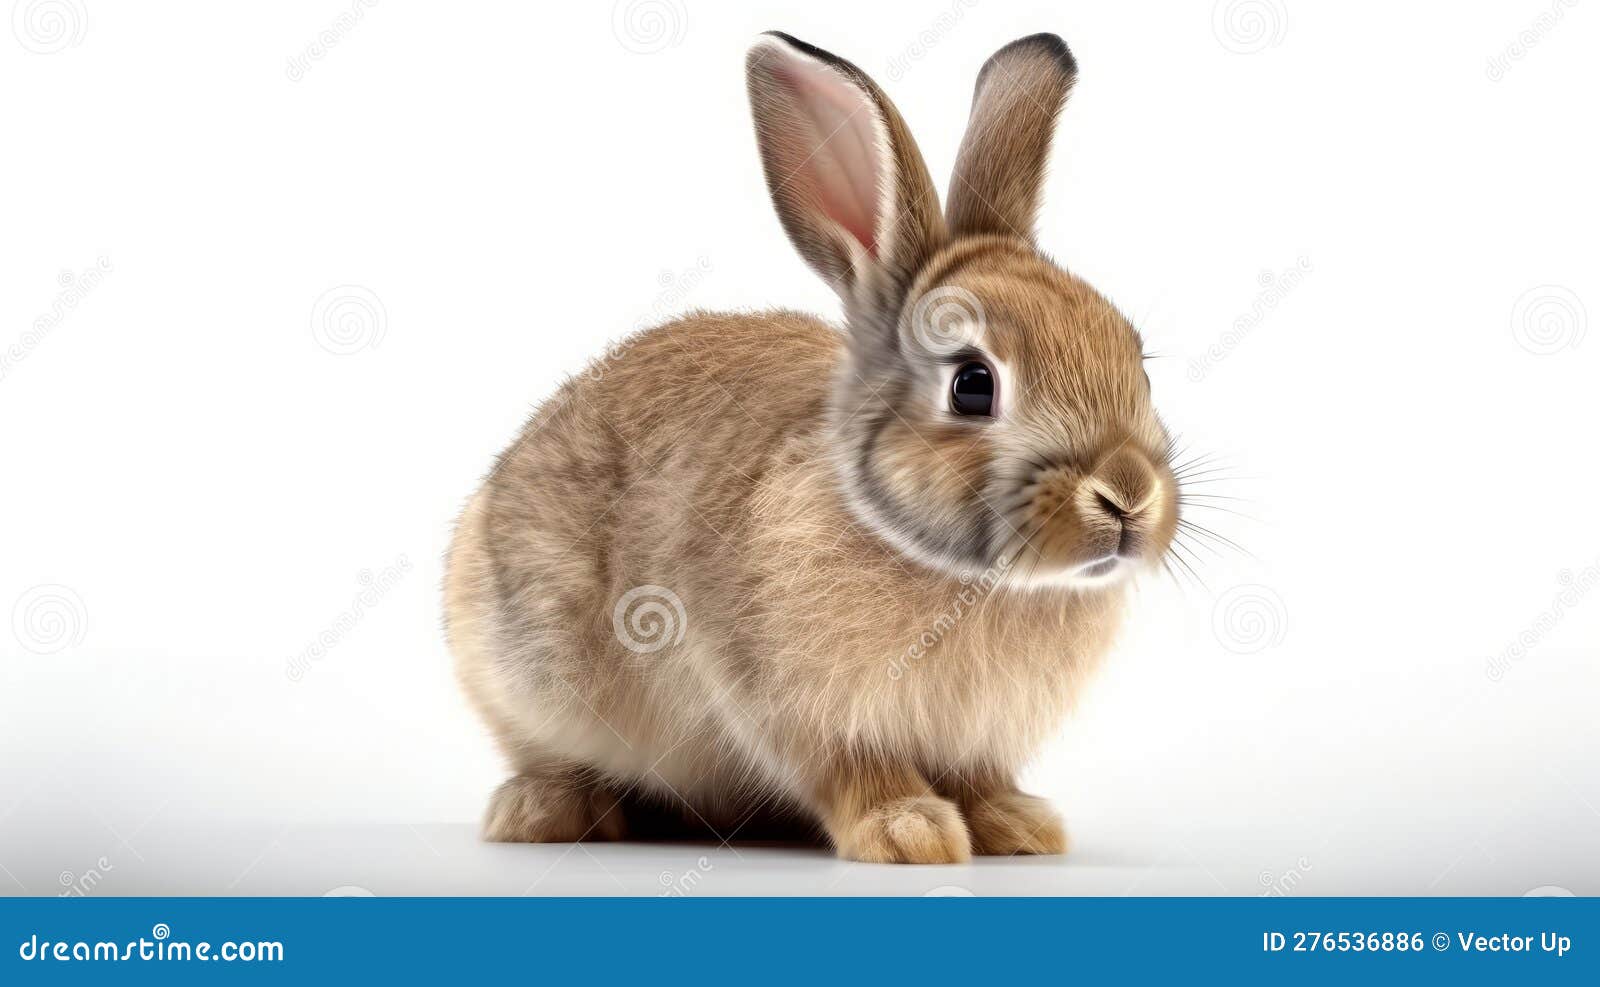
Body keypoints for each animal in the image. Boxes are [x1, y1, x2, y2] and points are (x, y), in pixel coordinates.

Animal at [444, 31, 1179, 864]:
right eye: (972, 385)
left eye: (1137, 361)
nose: (1128, 493)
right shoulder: (793, 706)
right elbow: (851, 767)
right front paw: (909, 831)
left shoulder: (975, 737)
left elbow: (978, 775)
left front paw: (1018, 826)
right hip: (516, 667)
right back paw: (548, 811)